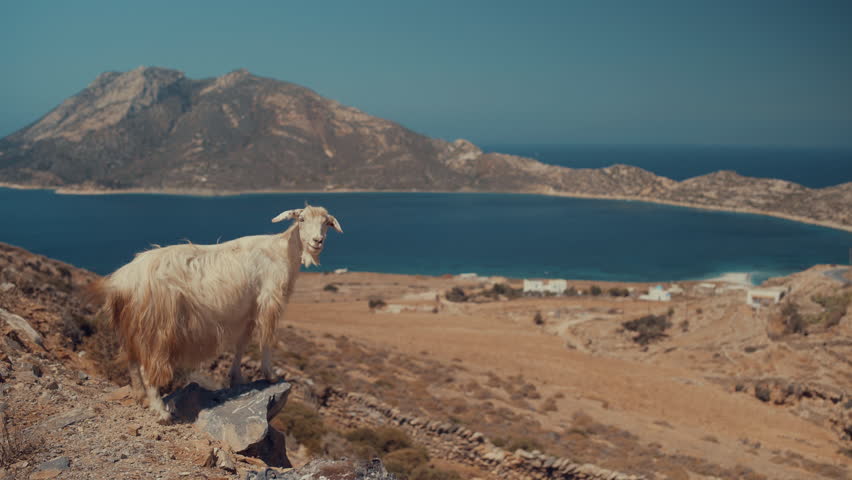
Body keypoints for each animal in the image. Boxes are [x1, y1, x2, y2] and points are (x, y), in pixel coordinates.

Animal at [92, 204, 342, 423]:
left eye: (326, 223)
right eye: (301, 220)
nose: (317, 241)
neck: (280, 251)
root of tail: (122, 282)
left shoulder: (248, 310)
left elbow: (242, 344)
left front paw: (237, 378)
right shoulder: (268, 301)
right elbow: (267, 341)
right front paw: (270, 375)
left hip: (131, 325)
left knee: (132, 361)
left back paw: (140, 397)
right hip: (157, 326)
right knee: (147, 366)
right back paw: (160, 410)